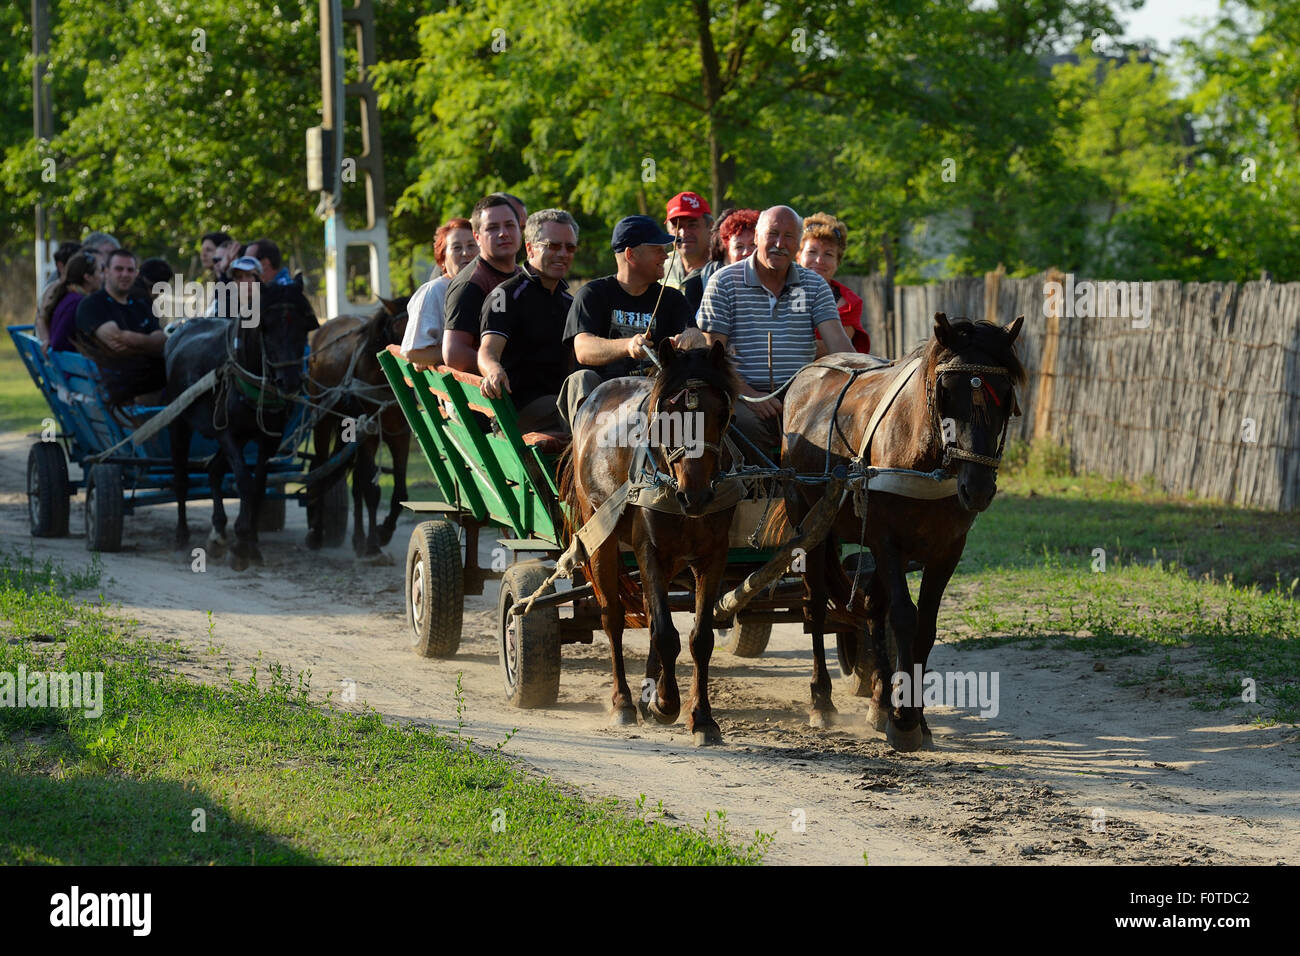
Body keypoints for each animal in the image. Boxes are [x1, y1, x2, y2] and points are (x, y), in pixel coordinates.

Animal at [166, 279, 320, 570]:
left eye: (304, 327)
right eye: (266, 329)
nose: (290, 381)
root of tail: (179, 330)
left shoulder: (269, 438)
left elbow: (258, 486)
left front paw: (249, 543)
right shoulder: (225, 431)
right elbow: (244, 481)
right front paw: (241, 542)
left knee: (214, 470)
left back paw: (218, 531)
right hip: (179, 422)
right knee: (181, 478)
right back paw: (180, 534)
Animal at [303, 295, 411, 557]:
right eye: (398, 332)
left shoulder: (401, 436)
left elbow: (399, 492)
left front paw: (382, 532)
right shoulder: (367, 436)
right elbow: (372, 491)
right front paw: (373, 544)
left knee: (356, 483)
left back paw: (358, 538)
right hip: (322, 418)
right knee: (321, 468)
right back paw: (316, 532)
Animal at [560, 340, 741, 745]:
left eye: (722, 413)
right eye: (668, 415)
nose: (696, 496)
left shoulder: (713, 555)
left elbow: (699, 637)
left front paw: (701, 718)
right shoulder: (650, 550)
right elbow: (664, 633)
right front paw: (667, 704)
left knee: (647, 607)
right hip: (602, 538)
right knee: (612, 618)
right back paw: (624, 702)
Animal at [780, 313, 1025, 751]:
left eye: (1005, 391)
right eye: (946, 391)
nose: (978, 488)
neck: (925, 459)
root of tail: (810, 372)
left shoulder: (947, 550)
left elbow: (923, 625)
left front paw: (912, 716)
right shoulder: (886, 541)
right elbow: (904, 618)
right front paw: (905, 721)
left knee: (873, 606)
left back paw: (879, 700)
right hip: (808, 522)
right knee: (818, 605)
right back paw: (822, 700)